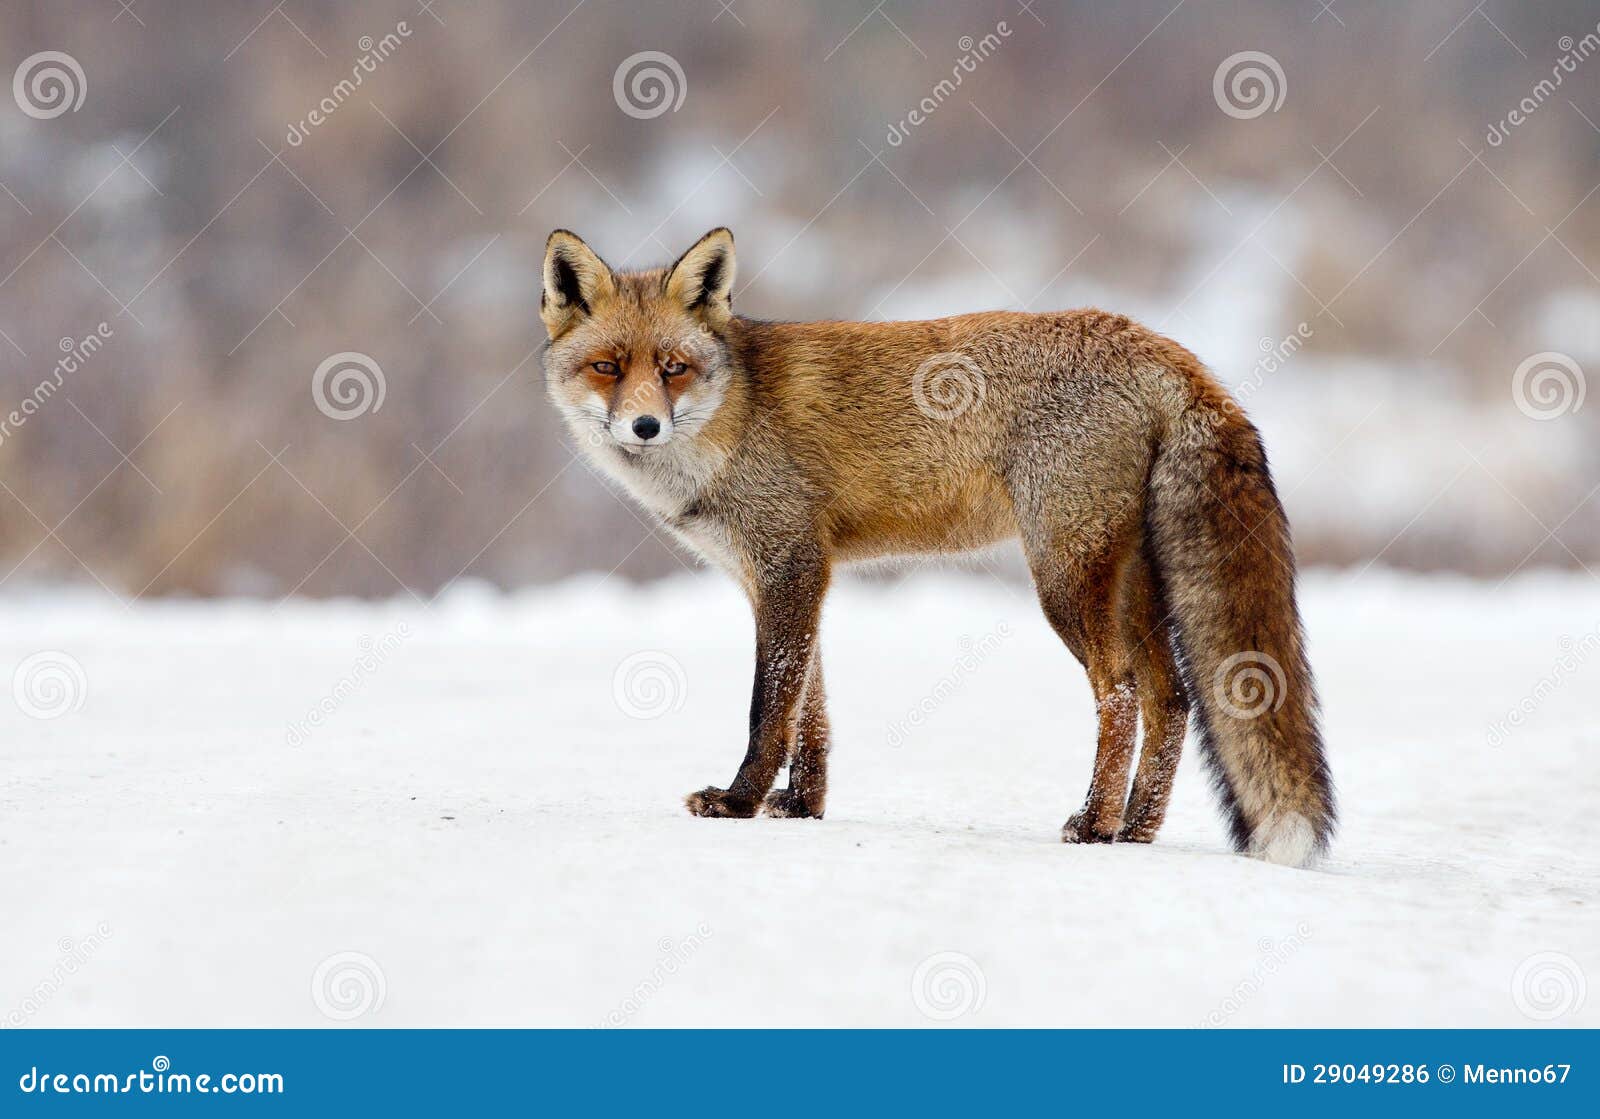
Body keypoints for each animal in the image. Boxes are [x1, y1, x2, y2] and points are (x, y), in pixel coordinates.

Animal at [541, 226, 1335, 866]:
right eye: (608, 367)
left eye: (672, 368)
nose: (644, 426)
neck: (732, 420)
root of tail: (1159, 344)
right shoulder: (786, 575)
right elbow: (809, 709)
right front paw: (799, 808)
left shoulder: (789, 565)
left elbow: (769, 709)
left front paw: (738, 802)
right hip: (1129, 581)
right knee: (1172, 700)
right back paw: (1136, 829)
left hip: (1064, 579)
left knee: (1120, 693)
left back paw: (1094, 824)